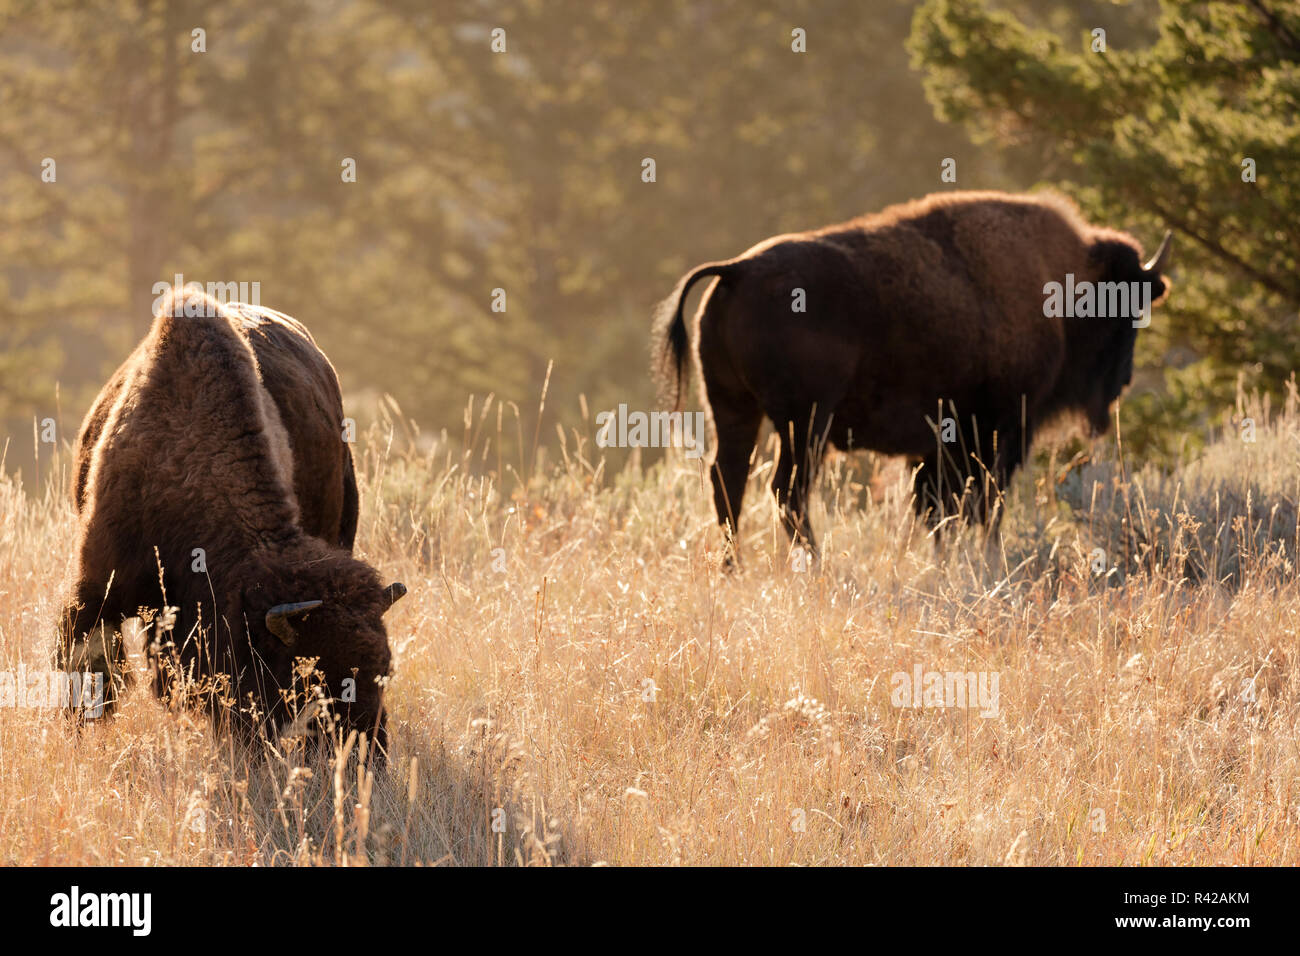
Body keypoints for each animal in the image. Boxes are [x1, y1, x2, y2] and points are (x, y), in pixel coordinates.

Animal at [653, 190, 1172, 562]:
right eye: (1125, 311)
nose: (1124, 379)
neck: (1065, 293)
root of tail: (737, 270)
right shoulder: (997, 432)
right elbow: (982, 503)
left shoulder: (939, 447)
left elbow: (940, 508)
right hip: (805, 422)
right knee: (787, 489)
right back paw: (816, 566)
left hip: (734, 408)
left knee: (729, 479)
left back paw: (733, 569)